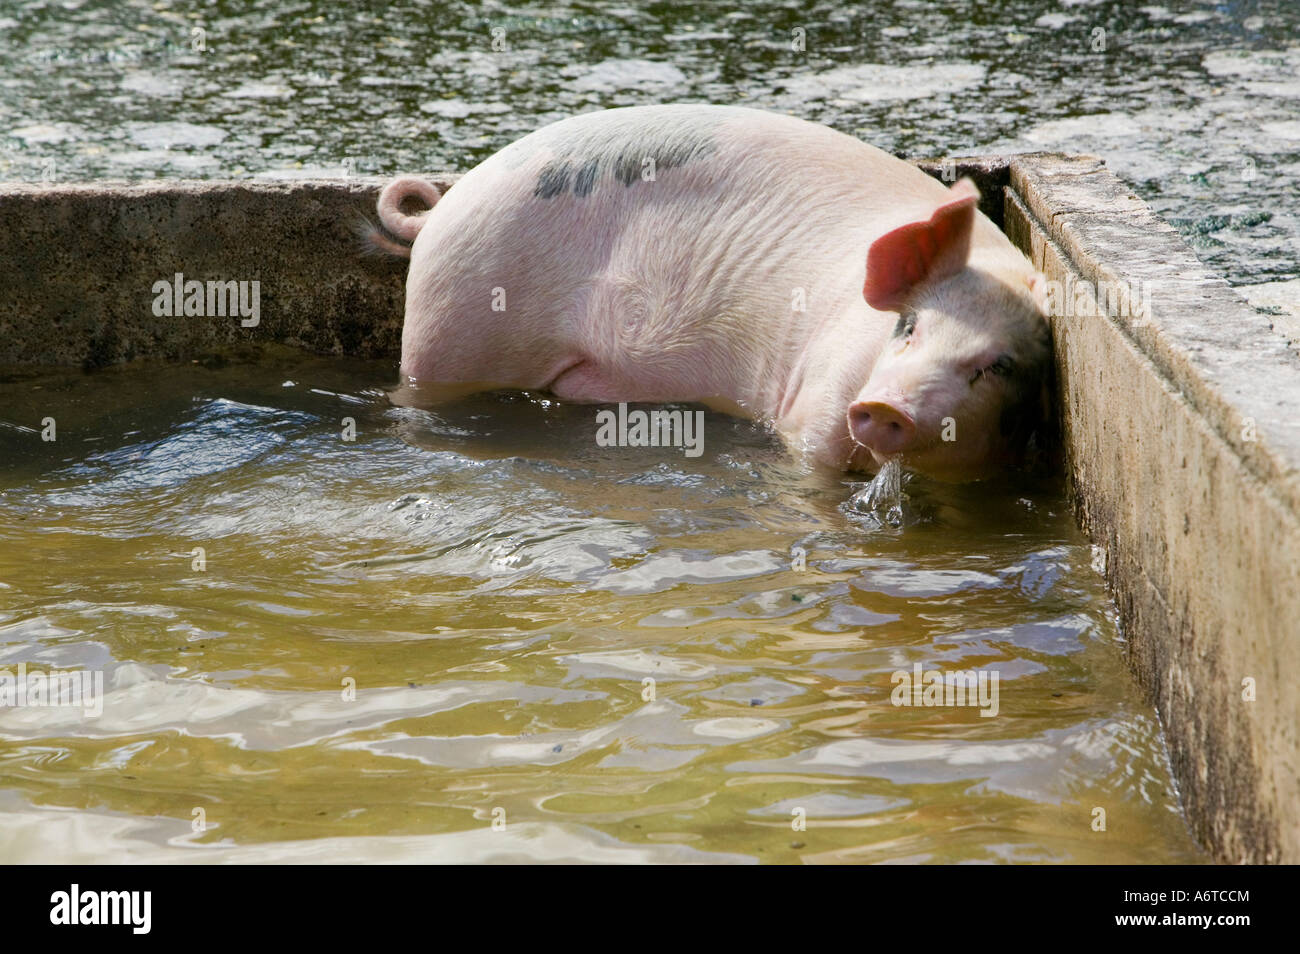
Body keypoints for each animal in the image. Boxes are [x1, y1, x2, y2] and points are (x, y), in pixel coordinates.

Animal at [373, 104, 1051, 481]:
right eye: (908, 327)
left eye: (999, 365)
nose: (888, 405)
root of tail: (440, 211)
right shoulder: (823, 390)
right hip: (452, 317)